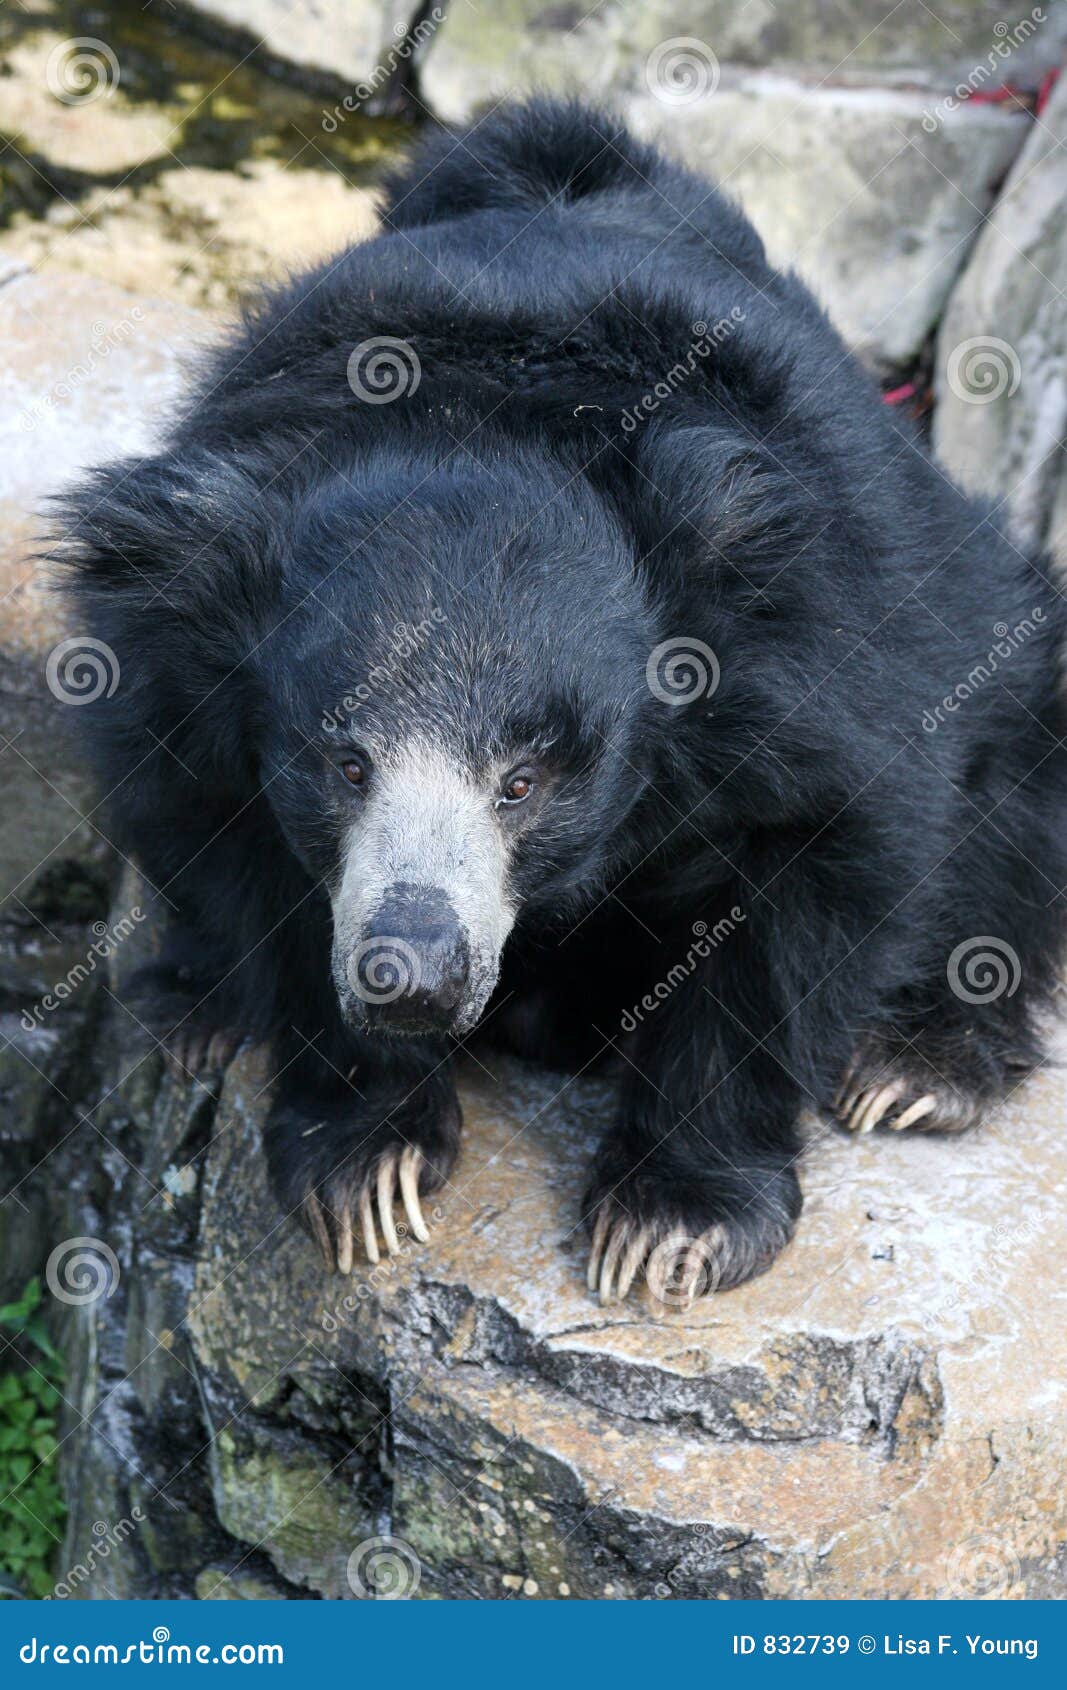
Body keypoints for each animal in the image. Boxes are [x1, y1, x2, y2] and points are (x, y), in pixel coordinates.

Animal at [57, 99, 1067, 1305]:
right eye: (343, 763)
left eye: (523, 782)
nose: (410, 973)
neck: (483, 416)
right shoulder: (168, 667)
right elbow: (247, 860)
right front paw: (367, 1163)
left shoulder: (813, 664)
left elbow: (812, 880)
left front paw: (669, 1225)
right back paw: (195, 1007)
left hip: (992, 635)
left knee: (1012, 794)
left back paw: (916, 1066)